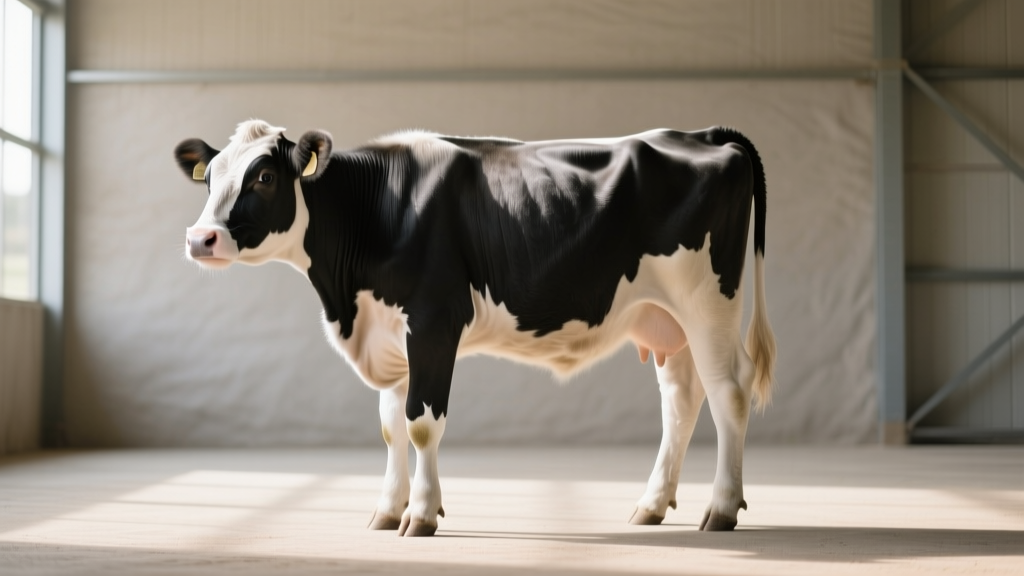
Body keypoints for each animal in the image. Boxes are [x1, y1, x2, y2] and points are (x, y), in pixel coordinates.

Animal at [174, 119, 775, 537]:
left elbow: (421, 424)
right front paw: (387, 511)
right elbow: (391, 426)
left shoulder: (434, 321)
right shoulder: (390, 334)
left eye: (265, 176)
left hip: (708, 300)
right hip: (667, 316)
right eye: (211, 178)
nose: (199, 238)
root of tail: (699, 135)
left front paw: (420, 516)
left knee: (728, 392)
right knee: (681, 398)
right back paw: (650, 506)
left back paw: (721, 509)